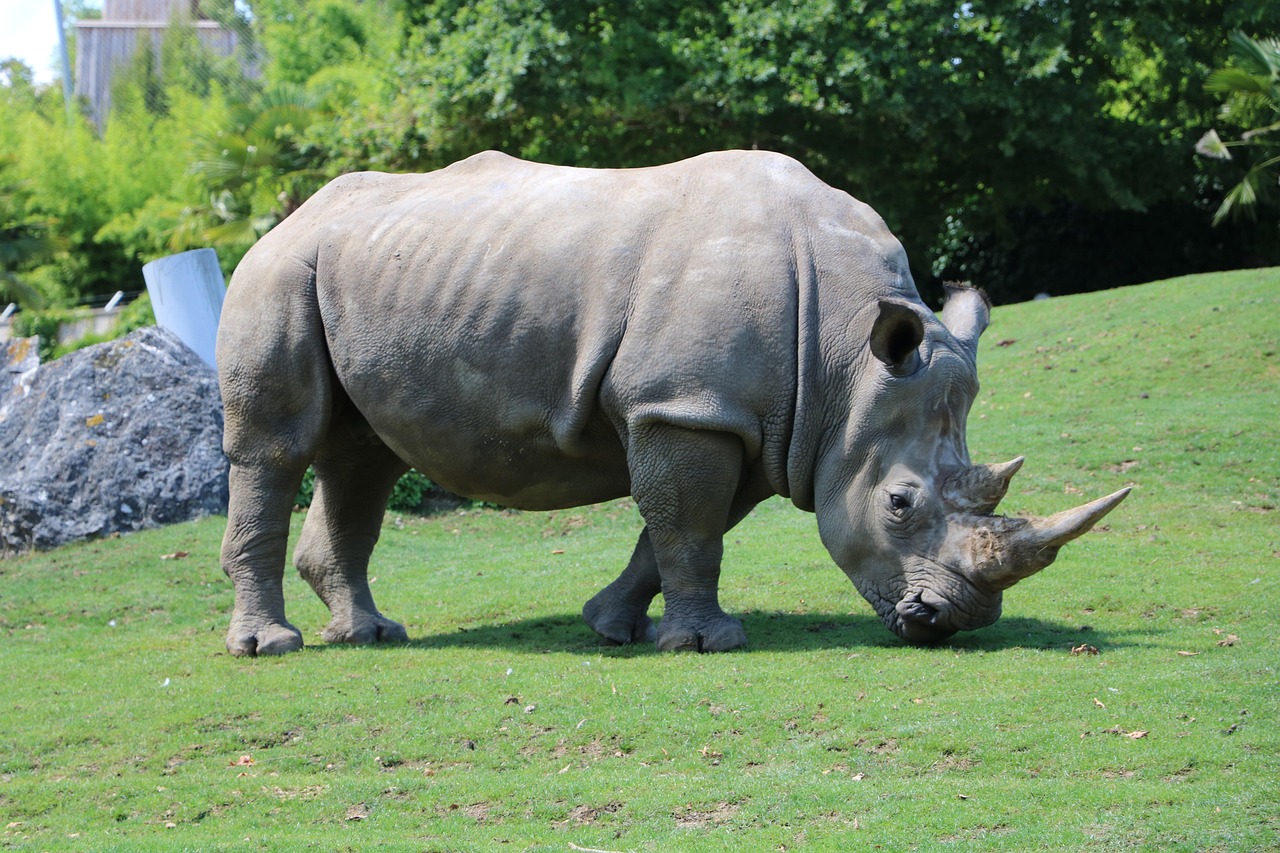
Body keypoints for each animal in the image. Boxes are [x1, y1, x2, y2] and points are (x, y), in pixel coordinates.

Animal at [216, 149, 1128, 656]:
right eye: (901, 505)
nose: (951, 620)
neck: (847, 359)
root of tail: (285, 217)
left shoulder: (754, 419)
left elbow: (684, 529)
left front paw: (611, 626)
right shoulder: (686, 404)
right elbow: (688, 525)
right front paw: (706, 644)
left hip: (357, 274)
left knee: (361, 454)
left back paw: (369, 634)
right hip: (275, 272)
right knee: (275, 448)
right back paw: (270, 648)